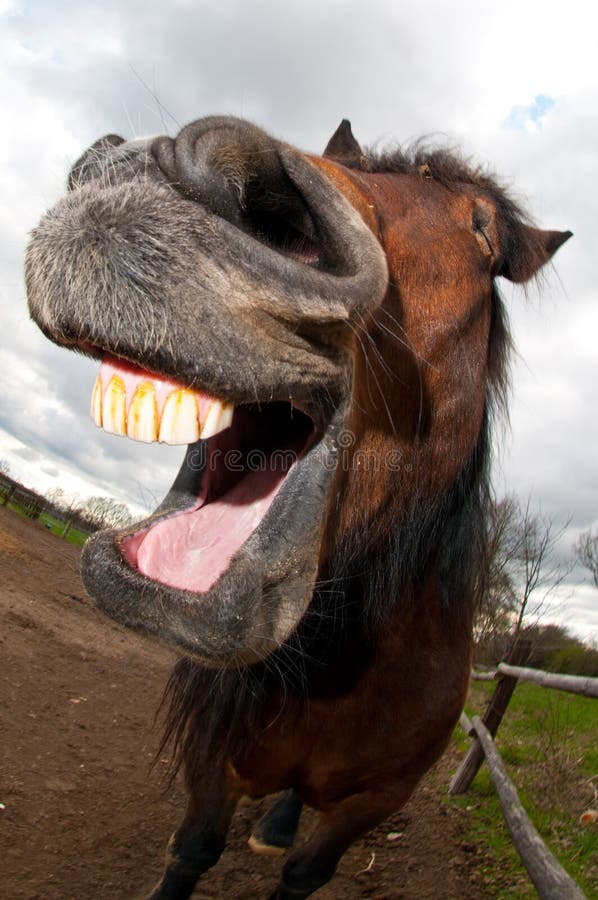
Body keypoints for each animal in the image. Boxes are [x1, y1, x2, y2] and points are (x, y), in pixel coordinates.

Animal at [25, 115, 571, 898]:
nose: (172, 168)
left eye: (484, 234)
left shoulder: (376, 802)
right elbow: (193, 849)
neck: (335, 674)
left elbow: (305, 874)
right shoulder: (213, 753)